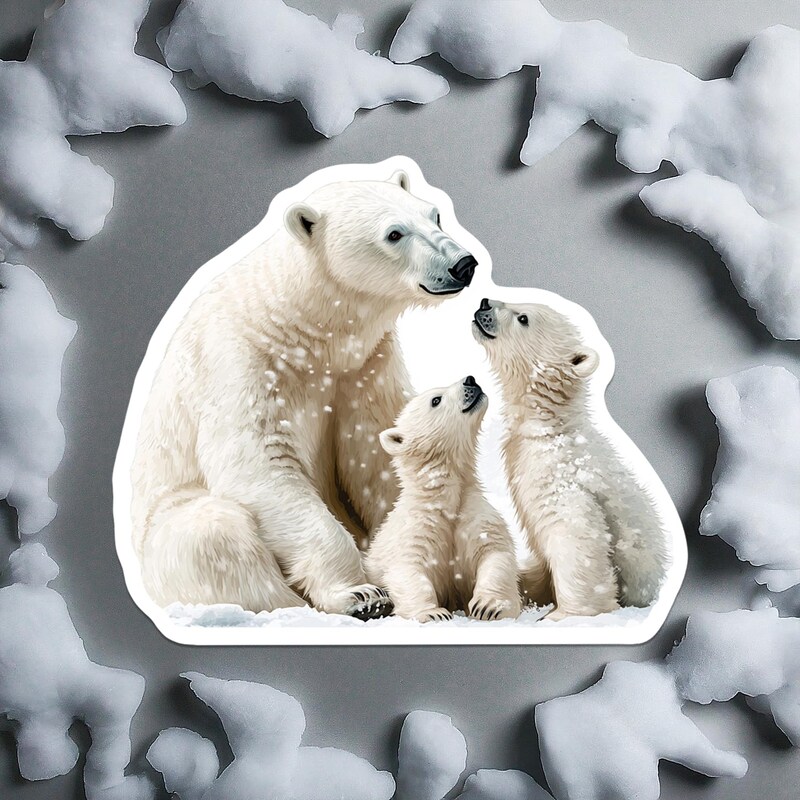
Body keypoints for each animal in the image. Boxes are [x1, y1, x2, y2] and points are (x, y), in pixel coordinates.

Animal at [129, 169, 478, 619]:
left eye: (435, 214)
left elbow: (377, 450)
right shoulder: (242, 362)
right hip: (163, 537)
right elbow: (257, 462)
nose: (463, 264)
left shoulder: (364, 364)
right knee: (212, 534)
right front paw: (360, 593)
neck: (300, 328)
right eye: (394, 233)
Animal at [365, 376, 521, 622]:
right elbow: (407, 569)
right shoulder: (416, 529)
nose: (470, 380)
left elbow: (495, 553)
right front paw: (432, 613)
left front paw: (489, 606)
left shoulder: (473, 514)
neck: (445, 498)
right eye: (436, 400)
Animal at [472, 298, 668, 620]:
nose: (484, 302)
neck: (551, 427)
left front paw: (564, 615)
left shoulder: (563, 475)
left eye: (523, 317)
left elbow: (575, 538)